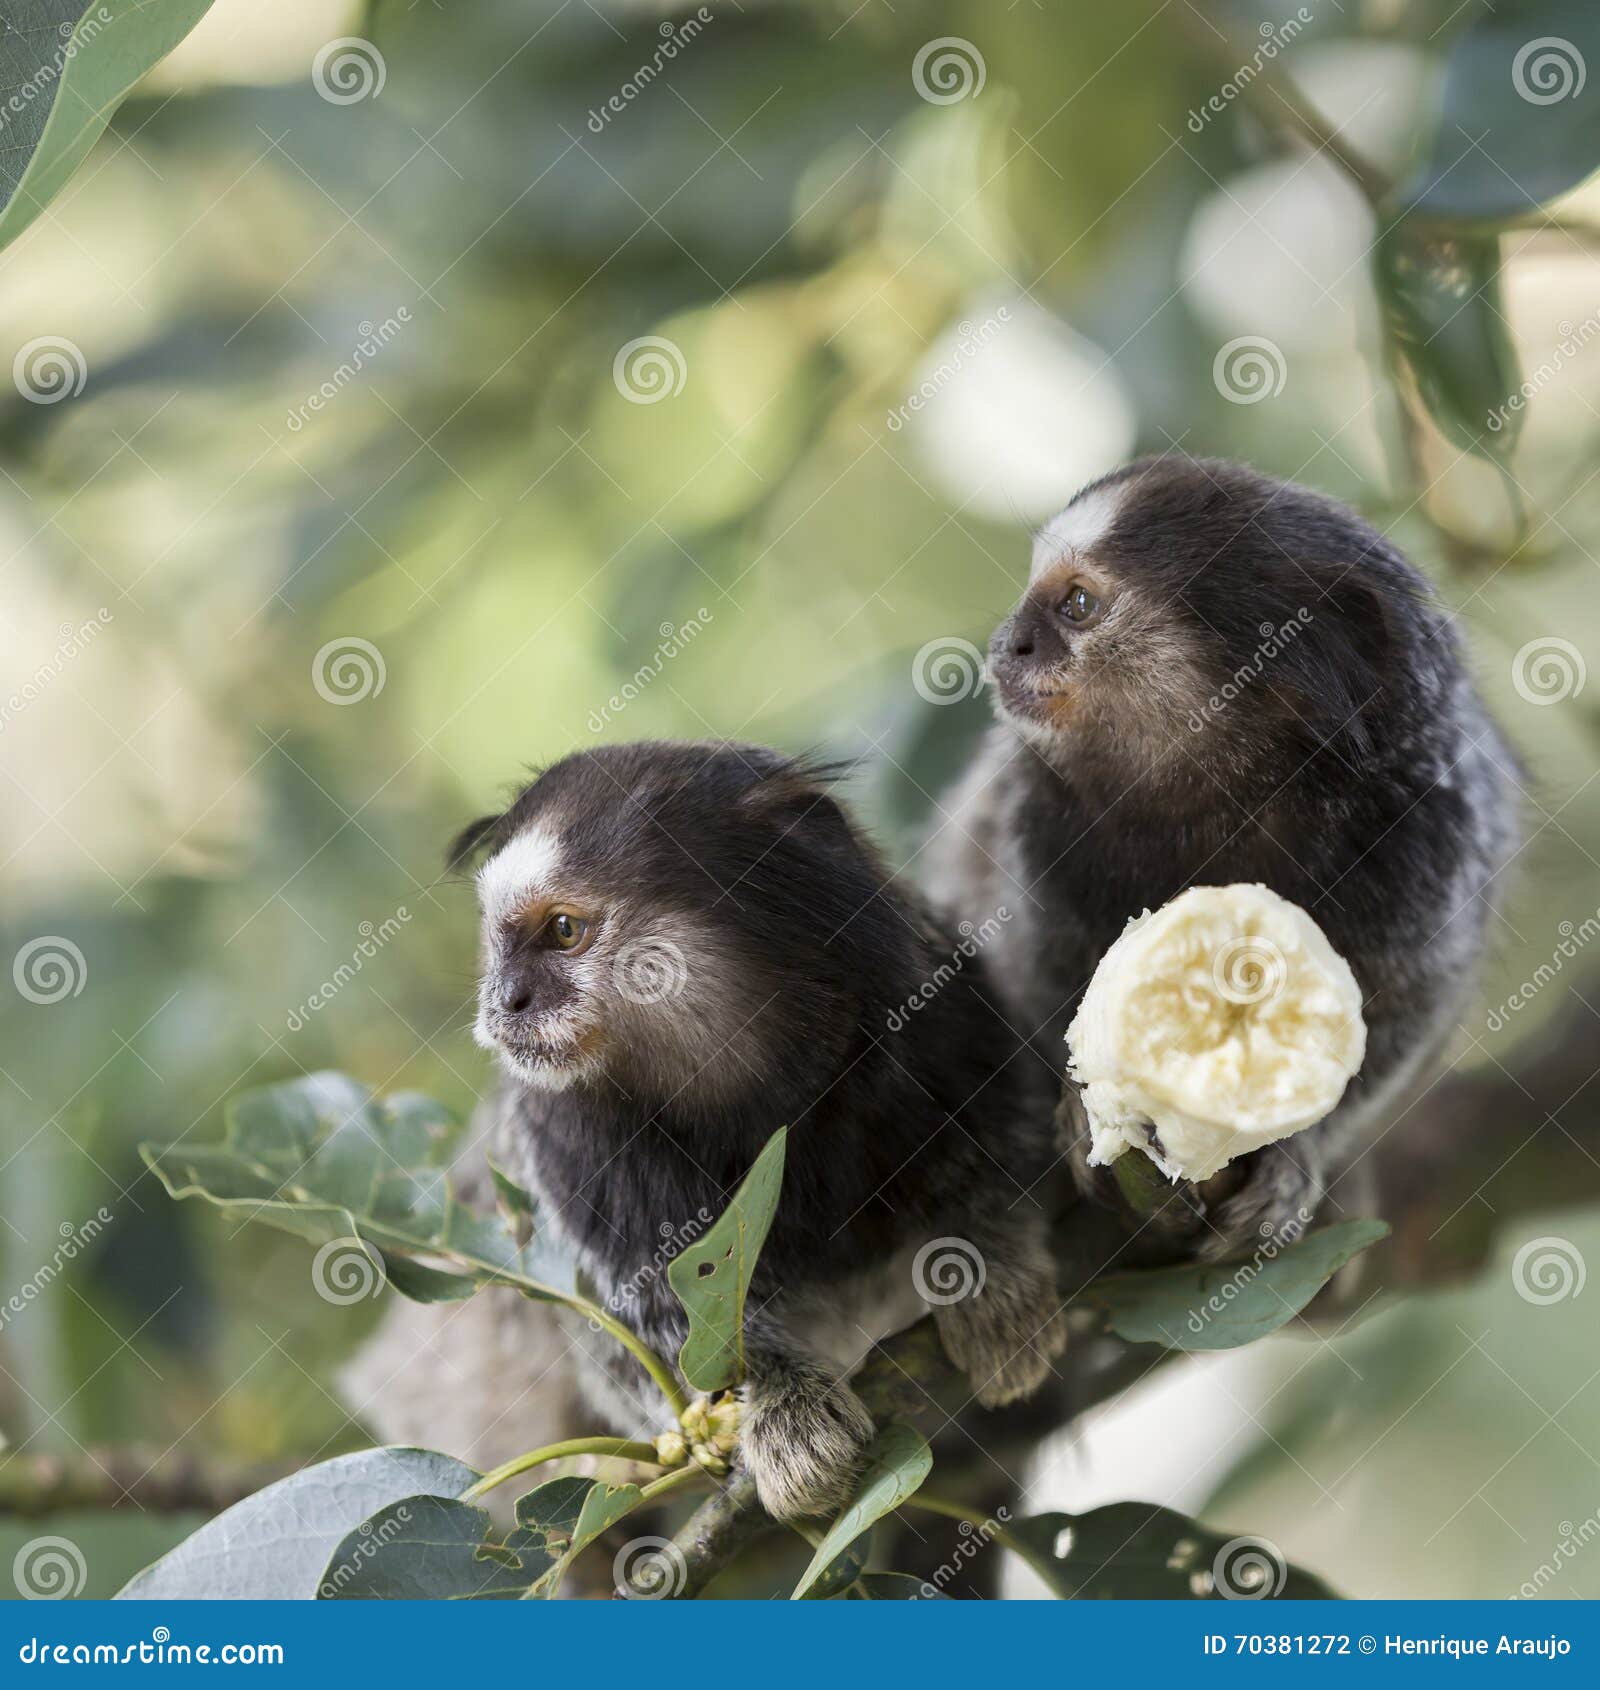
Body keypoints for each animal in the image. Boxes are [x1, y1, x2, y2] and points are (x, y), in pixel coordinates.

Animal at [449, 740, 1067, 1522]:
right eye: (496, 944)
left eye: (562, 930)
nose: (504, 1001)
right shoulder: (564, 1147)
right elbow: (652, 1322)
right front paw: (783, 1409)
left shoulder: (931, 1000)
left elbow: (997, 1143)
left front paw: (992, 1280)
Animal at [923, 455, 1522, 1261]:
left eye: (1076, 604)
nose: (1008, 641)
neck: (1244, 791)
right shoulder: (1032, 823)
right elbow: (1027, 978)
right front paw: (1083, 1115)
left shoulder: (1433, 843)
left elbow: (1407, 1012)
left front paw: (1296, 1158)